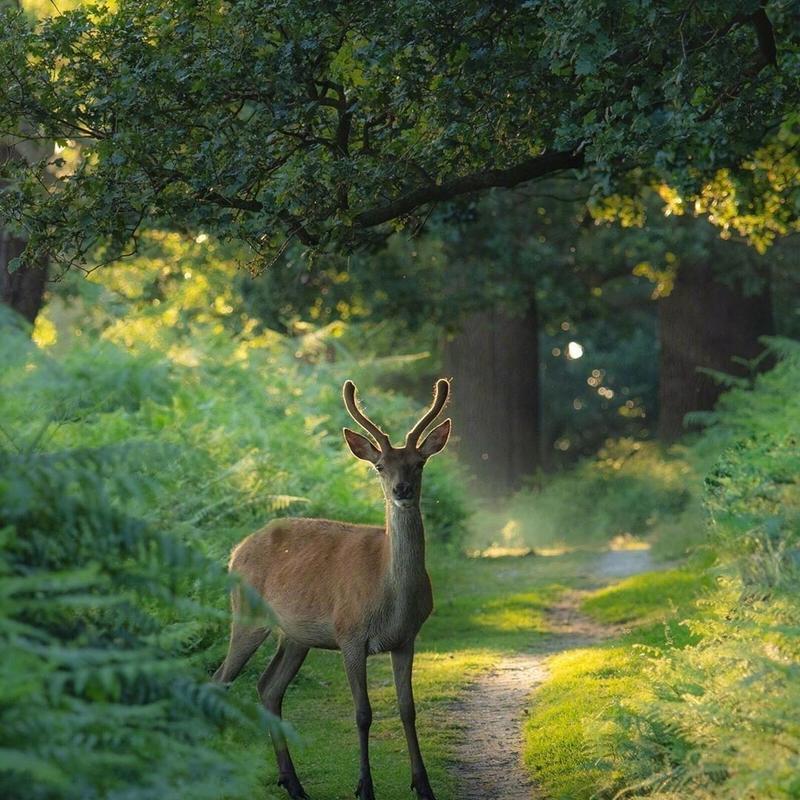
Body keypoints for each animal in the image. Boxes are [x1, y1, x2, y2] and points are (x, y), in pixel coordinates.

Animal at [212, 380, 450, 800]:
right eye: (380, 466)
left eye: (419, 463)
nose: (402, 489)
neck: (390, 596)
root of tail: (236, 550)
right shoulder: (349, 632)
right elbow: (363, 713)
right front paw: (365, 787)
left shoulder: (407, 638)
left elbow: (408, 709)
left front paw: (424, 787)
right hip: (247, 616)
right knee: (220, 680)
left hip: (295, 636)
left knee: (268, 687)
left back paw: (294, 784)